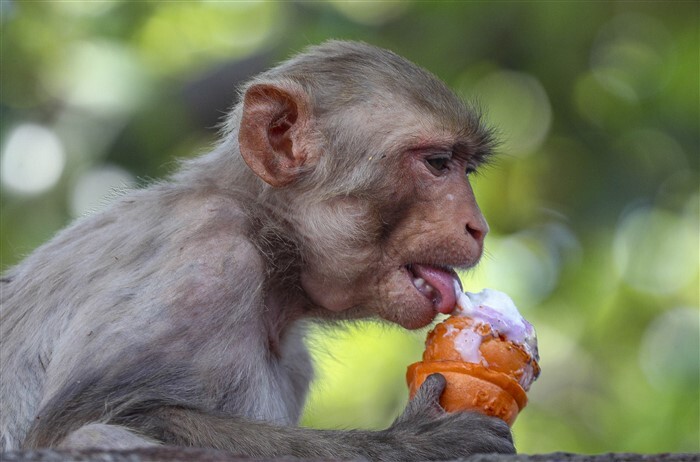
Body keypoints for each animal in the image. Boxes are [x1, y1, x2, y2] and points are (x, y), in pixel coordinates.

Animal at [0, 41, 514, 460]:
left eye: (466, 168)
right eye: (438, 163)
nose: (479, 226)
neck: (268, 242)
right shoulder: (206, 260)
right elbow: (70, 426)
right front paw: (413, 443)